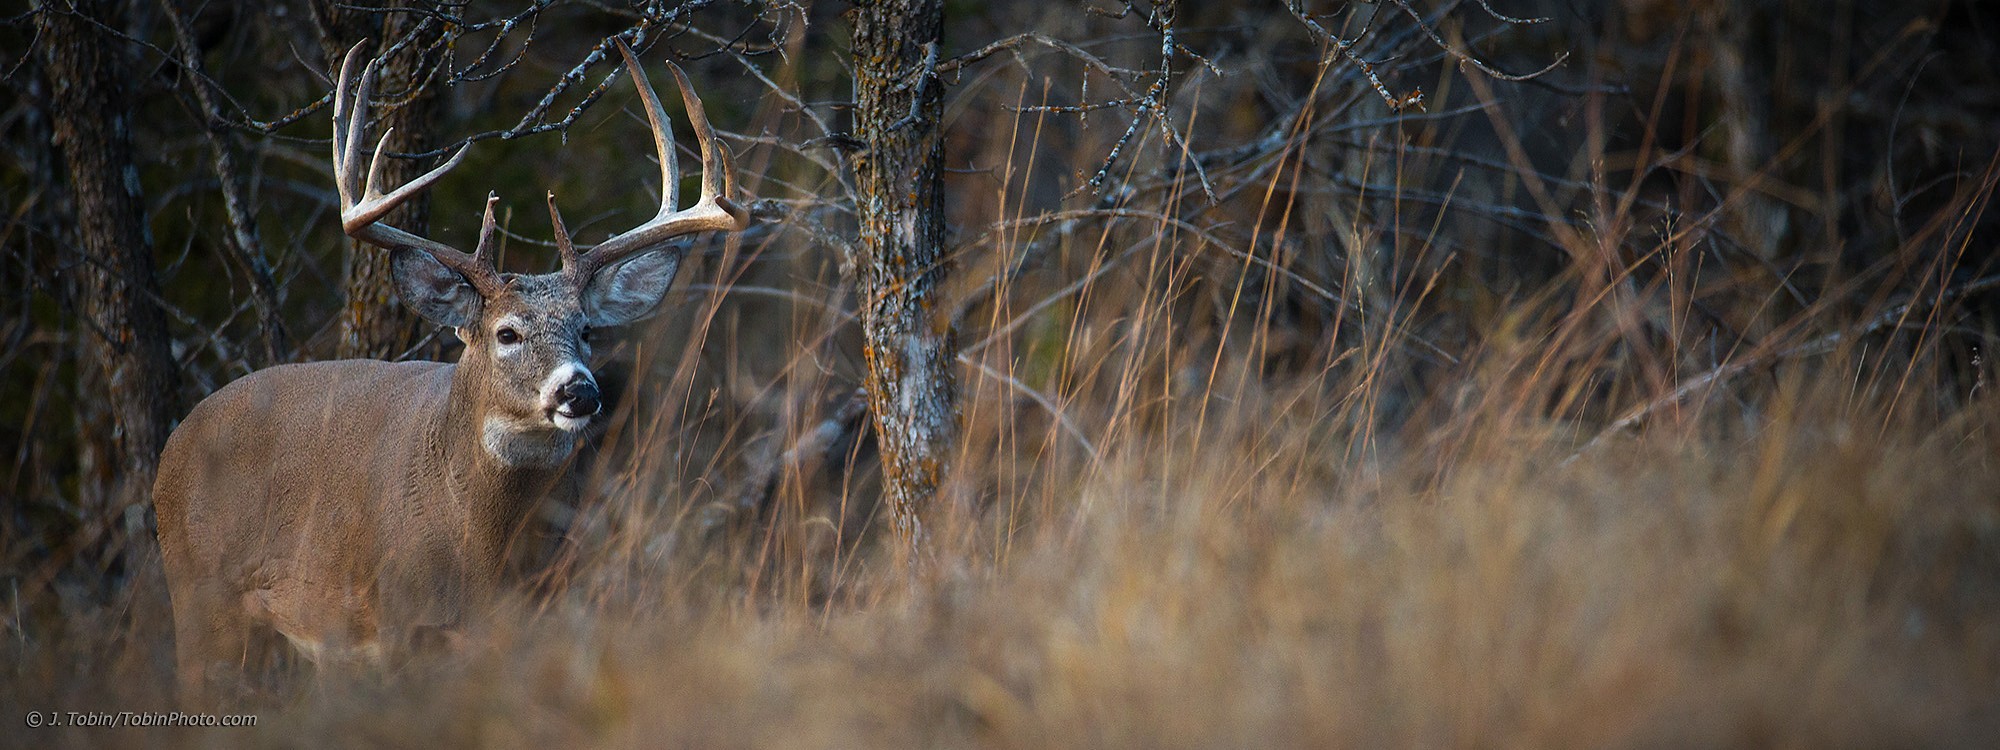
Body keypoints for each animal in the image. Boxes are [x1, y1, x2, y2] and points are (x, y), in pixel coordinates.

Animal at [152, 39, 748, 705]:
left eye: (588, 330)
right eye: (506, 333)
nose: (579, 391)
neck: (481, 554)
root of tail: (173, 446)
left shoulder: (540, 609)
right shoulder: (395, 618)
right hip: (199, 594)